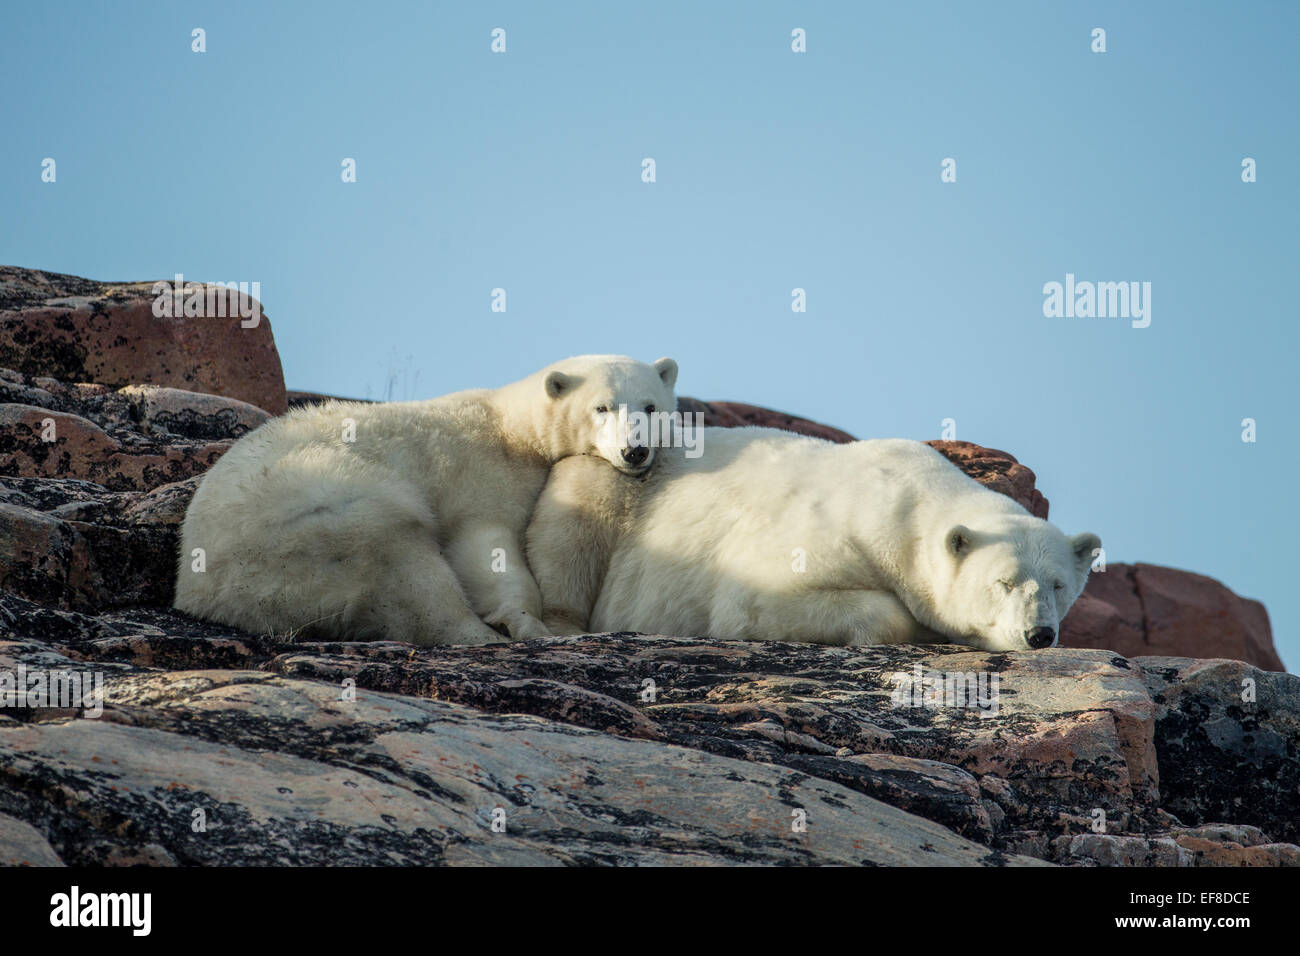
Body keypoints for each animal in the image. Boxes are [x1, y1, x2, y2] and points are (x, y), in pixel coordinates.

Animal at [174, 354, 679, 646]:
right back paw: (481, 634)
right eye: (602, 407)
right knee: (401, 561)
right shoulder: (477, 476)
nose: (635, 452)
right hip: (308, 520)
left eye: (651, 406)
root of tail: (197, 590)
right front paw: (526, 622)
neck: (513, 429)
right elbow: (485, 546)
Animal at [525, 429, 1100, 651]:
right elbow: (756, 601)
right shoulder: (824, 536)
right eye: (1003, 582)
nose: (1039, 634)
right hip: (616, 480)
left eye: (1057, 585)